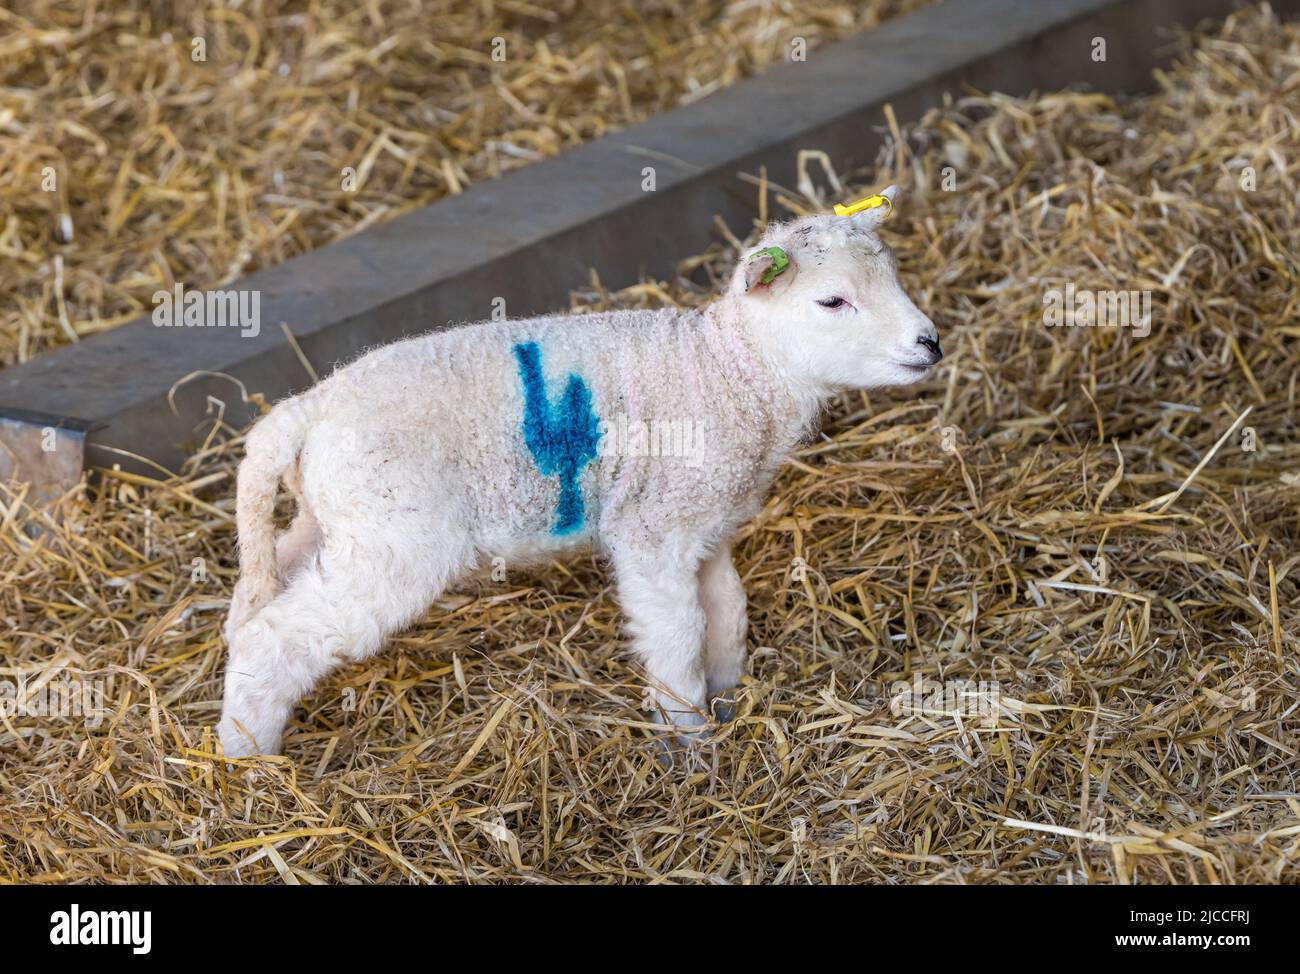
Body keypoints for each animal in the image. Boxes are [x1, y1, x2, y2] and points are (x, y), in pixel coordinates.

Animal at [218, 186, 943, 757]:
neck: (727, 372)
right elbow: (678, 634)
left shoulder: (705, 526)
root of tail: (309, 407)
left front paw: (728, 695)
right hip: (394, 535)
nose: (930, 343)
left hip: (336, 518)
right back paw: (247, 762)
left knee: (259, 594)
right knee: (274, 638)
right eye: (832, 302)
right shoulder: (652, 532)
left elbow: (727, 613)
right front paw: (687, 739)